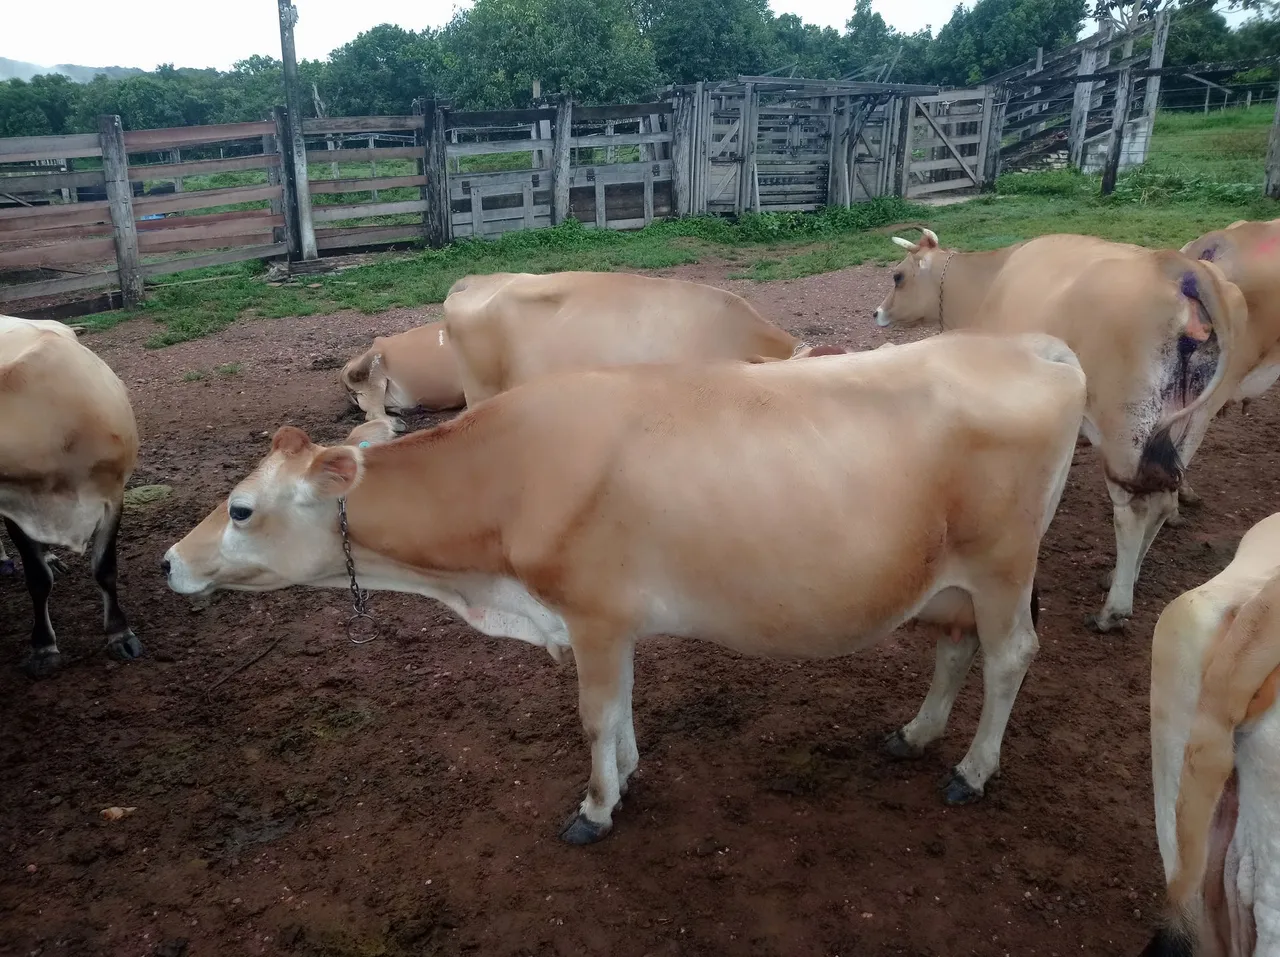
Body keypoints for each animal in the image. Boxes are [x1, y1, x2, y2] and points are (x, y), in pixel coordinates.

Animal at [0, 314, 142, 676]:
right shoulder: (16, 509)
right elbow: (37, 579)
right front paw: (43, 647)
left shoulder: (112, 496)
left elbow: (105, 569)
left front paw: (120, 633)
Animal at [164, 330, 1086, 844]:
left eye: (241, 508)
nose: (169, 559)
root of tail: (1033, 344)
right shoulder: (612, 618)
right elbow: (626, 705)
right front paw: (632, 771)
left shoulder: (593, 613)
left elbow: (594, 713)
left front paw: (597, 806)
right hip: (951, 576)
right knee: (957, 646)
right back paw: (917, 732)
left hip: (1004, 564)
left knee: (1011, 654)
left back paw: (972, 769)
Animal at [873, 229, 1248, 633]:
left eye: (897, 276)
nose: (876, 312)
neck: (987, 282)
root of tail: (1179, 267)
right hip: (1188, 426)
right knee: (1164, 499)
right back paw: (1123, 576)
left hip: (1126, 433)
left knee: (1133, 510)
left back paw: (1113, 610)